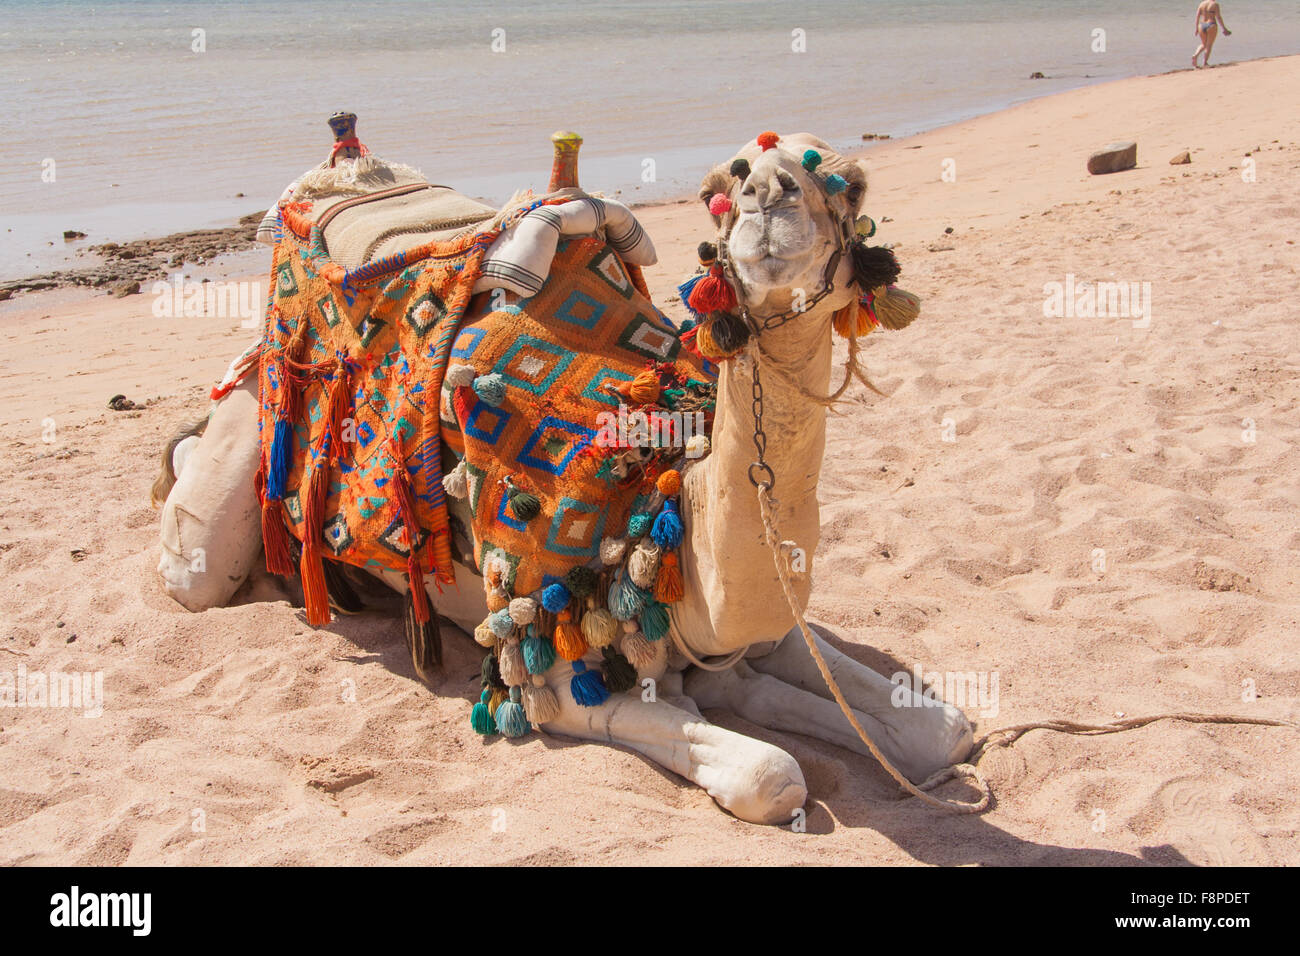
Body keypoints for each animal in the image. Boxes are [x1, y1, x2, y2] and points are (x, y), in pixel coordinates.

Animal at [156, 126, 973, 824]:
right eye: (721, 184)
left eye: (852, 185)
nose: (768, 195)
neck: (652, 508)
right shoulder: (554, 675)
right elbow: (771, 774)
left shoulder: (757, 631)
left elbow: (942, 729)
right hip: (249, 434)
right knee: (194, 558)